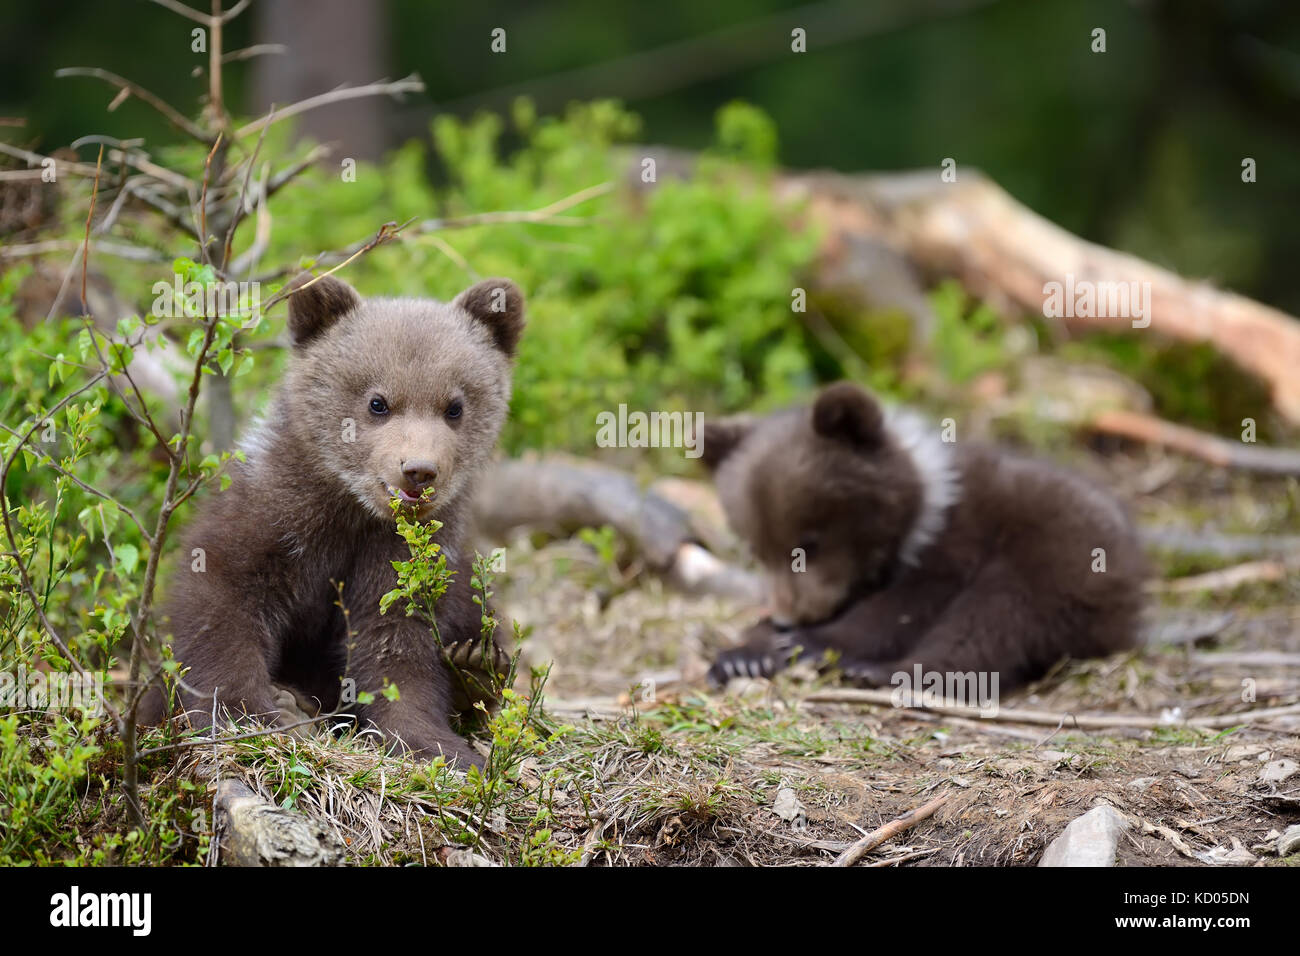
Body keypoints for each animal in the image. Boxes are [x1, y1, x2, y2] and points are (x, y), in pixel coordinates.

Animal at [147, 272, 523, 768]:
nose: (419, 470)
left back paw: (475, 665)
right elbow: (221, 606)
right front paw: (253, 709)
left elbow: (394, 646)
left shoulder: (402, 558)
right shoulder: (274, 518)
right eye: (378, 402)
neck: (354, 510)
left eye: (455, 406)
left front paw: (438, 743)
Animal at [701, 381, 1146, 691]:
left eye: (809, 542)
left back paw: (880, 672)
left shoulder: (957, 543)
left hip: (1059, 560)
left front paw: (808, 642)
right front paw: (745, 654)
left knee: (997, 617)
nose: (786, 618)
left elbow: (900, 609)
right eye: (757, 550)